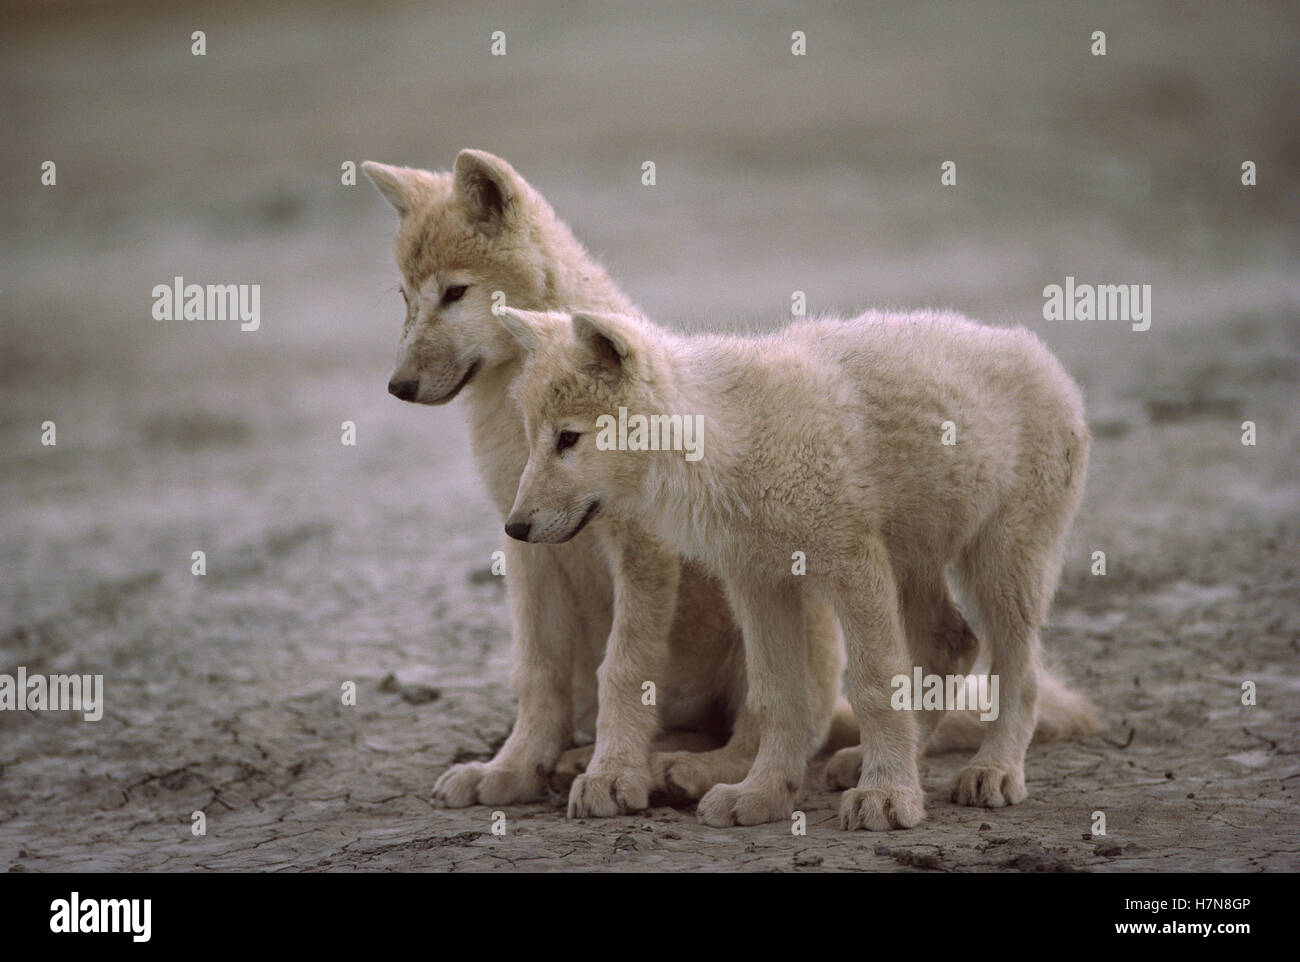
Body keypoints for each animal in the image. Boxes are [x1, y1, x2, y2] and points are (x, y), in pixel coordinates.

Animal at [499, 306, 1096, 829]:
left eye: (568, 438)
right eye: (532, 439)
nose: (515, 528)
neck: (729, 441)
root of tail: (1039, 353)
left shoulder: (852, 568)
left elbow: (876, 687)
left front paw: (887, 798)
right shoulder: (761, 585)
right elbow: (777, 698)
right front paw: (763, 796)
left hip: (1000, 567)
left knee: (1020, 672)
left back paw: (993, 771)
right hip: (915, 565)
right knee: (952, 644)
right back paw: (874, 761)